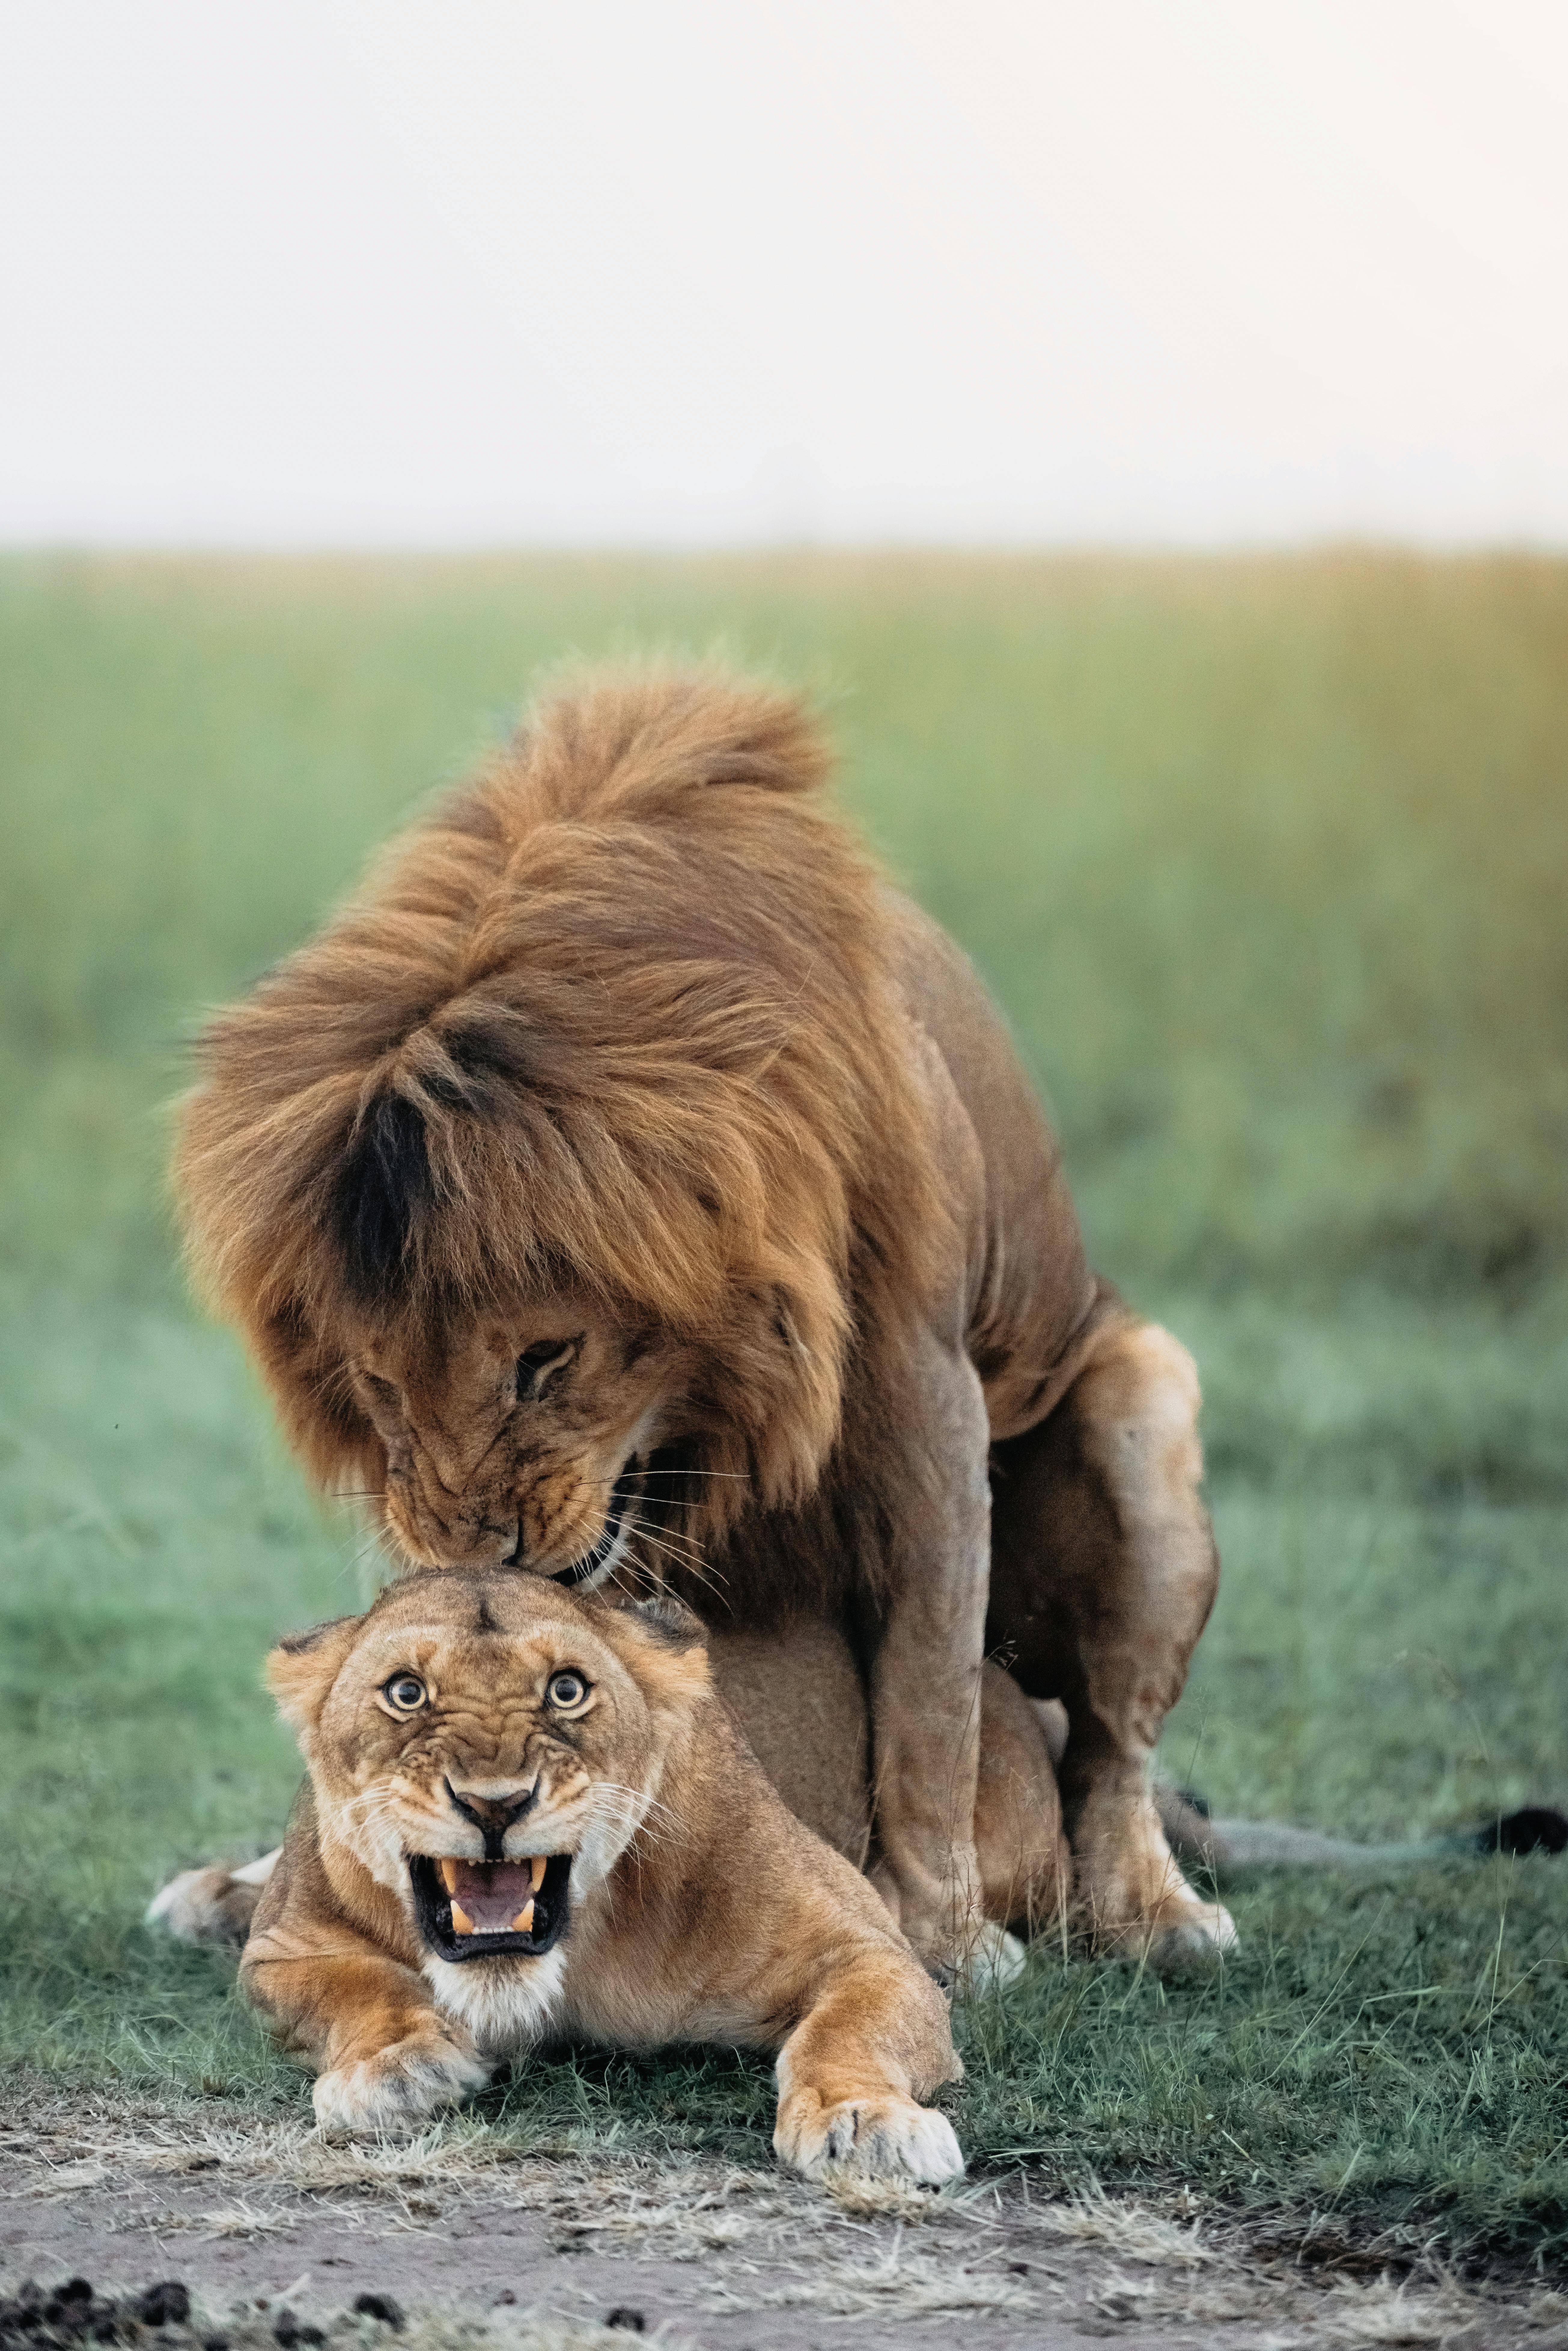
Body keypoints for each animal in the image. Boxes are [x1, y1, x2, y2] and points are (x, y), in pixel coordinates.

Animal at [168, 1568, 968, 2179]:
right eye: (406, 1692)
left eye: (566, 1689)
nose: (495, 1802)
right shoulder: (284, 1949)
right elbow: (357, 1987)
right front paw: (397, 2067)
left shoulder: (864, 1947)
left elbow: (847, 2027)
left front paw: (863, 2121)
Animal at [175, 667, 1232, 1976]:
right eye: (377, 1387)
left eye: (545, 1359)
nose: (482, 1554)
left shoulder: (925, 1400)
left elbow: (929, 1705)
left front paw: (940, 1938)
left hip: (1139, 1411)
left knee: (1107, 1751)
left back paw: (1152, 1910)